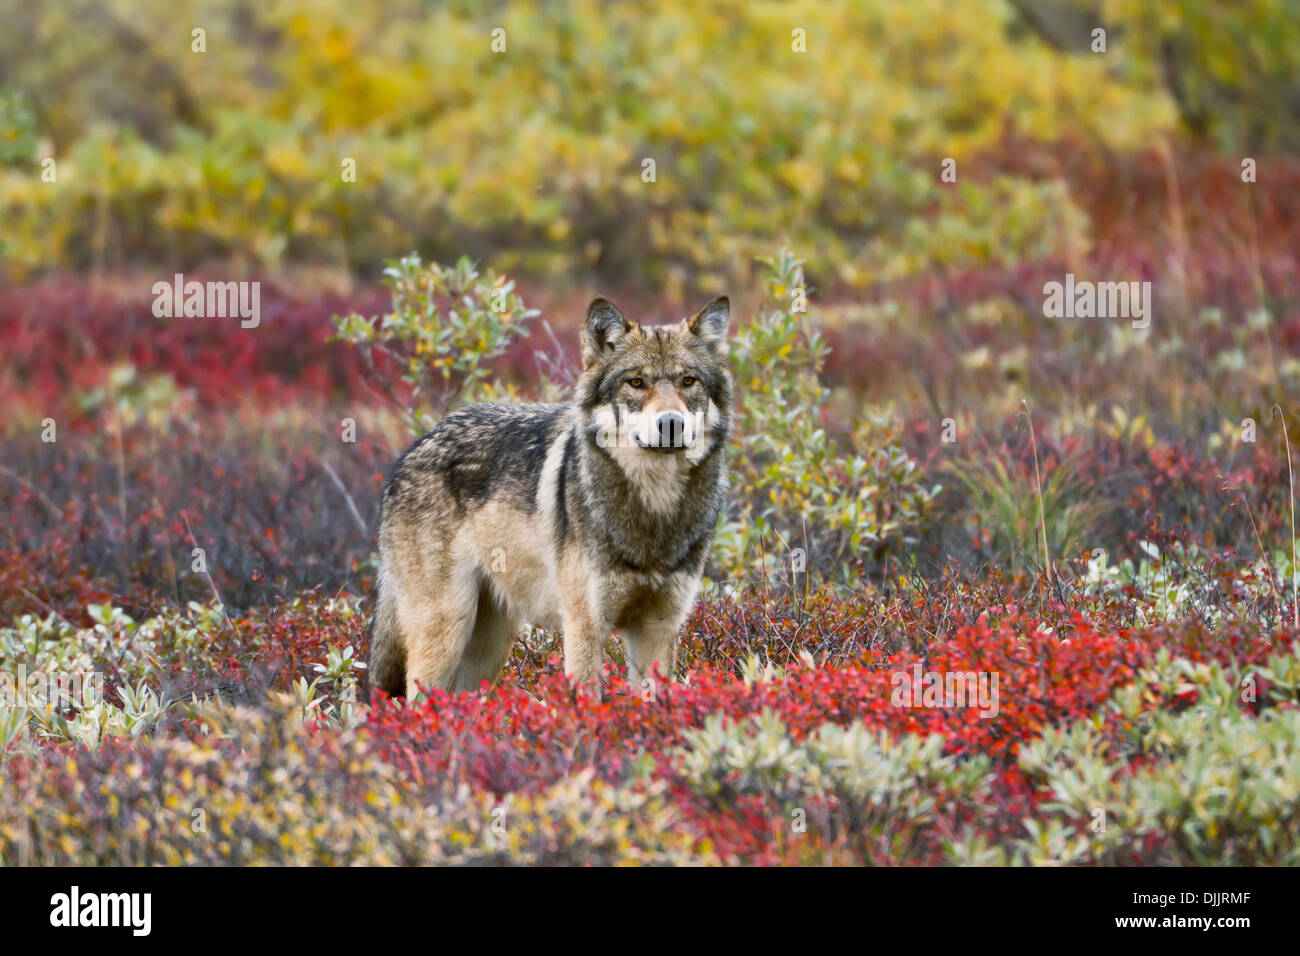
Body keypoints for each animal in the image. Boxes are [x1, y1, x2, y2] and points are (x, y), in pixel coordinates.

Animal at [368, 295, 732, 698]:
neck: (654, 509)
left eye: (688, 381)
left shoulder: (658, 629)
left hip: (489, 648)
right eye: (636, 382)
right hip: (446, 630)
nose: (671, 424)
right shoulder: (584, 627)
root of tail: (417, 443)